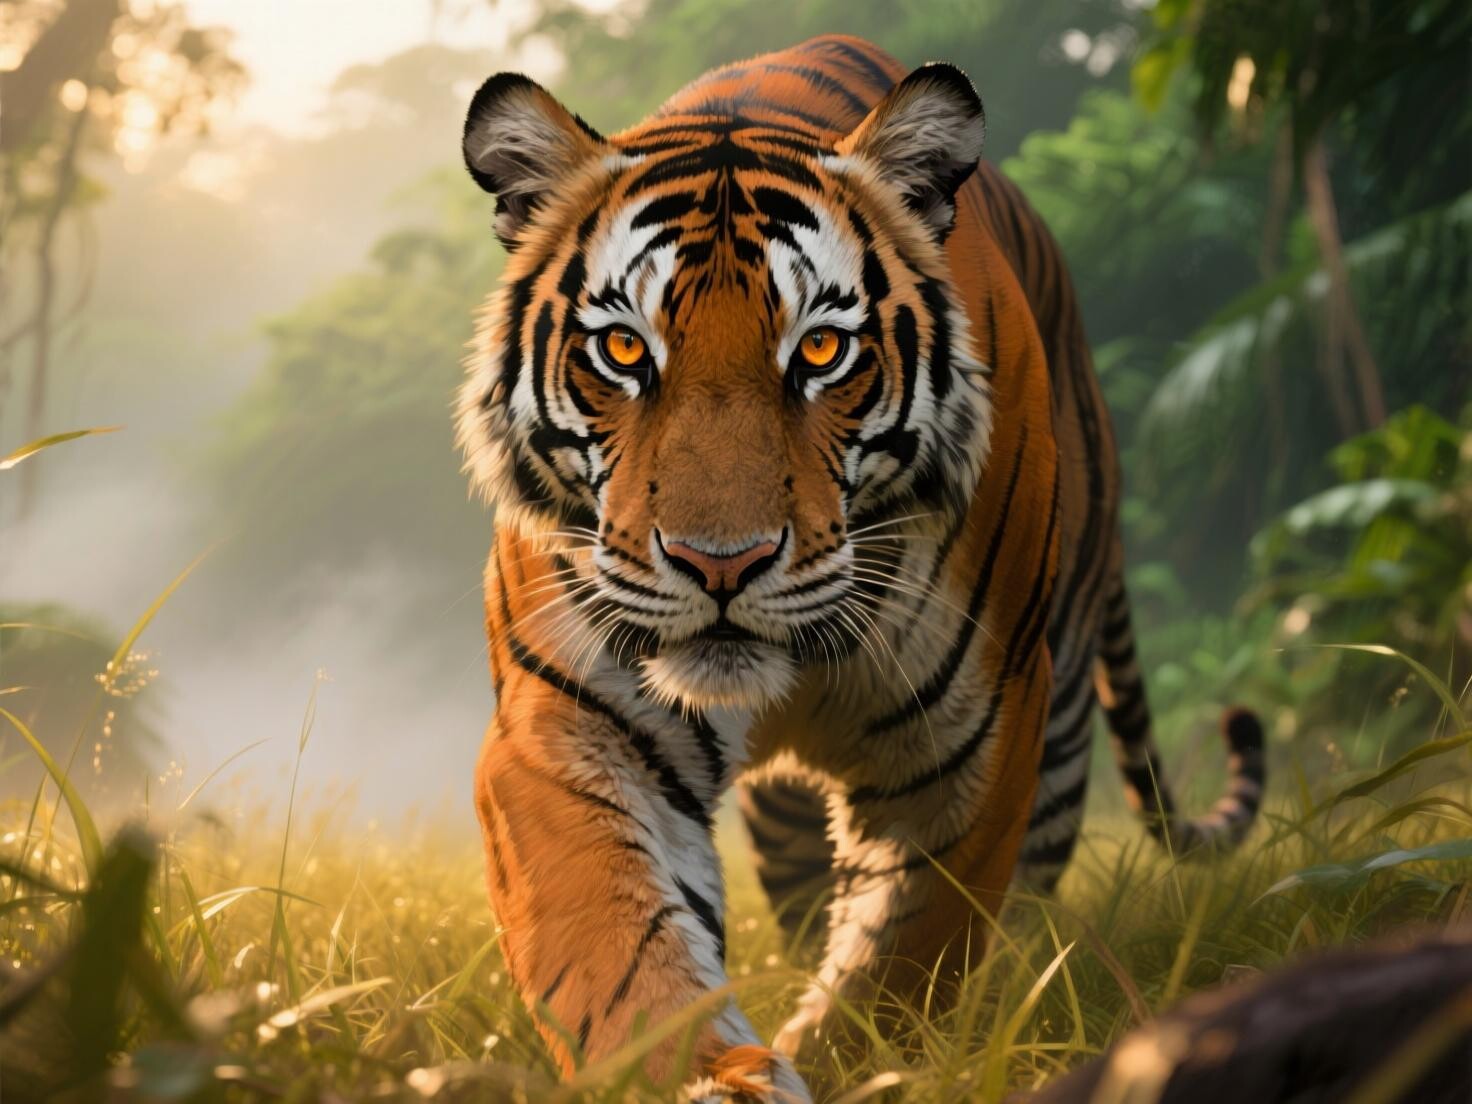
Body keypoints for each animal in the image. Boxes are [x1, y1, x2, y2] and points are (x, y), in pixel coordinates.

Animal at [455, 34, 1266, 1101]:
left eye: (821, 352)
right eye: (625, 349)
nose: (723, 565)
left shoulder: (971, 741)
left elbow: (904, 962)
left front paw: (862, 1062)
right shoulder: (572, 723)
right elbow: (620, 954)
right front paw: (720, 1076)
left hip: (1058, 719)